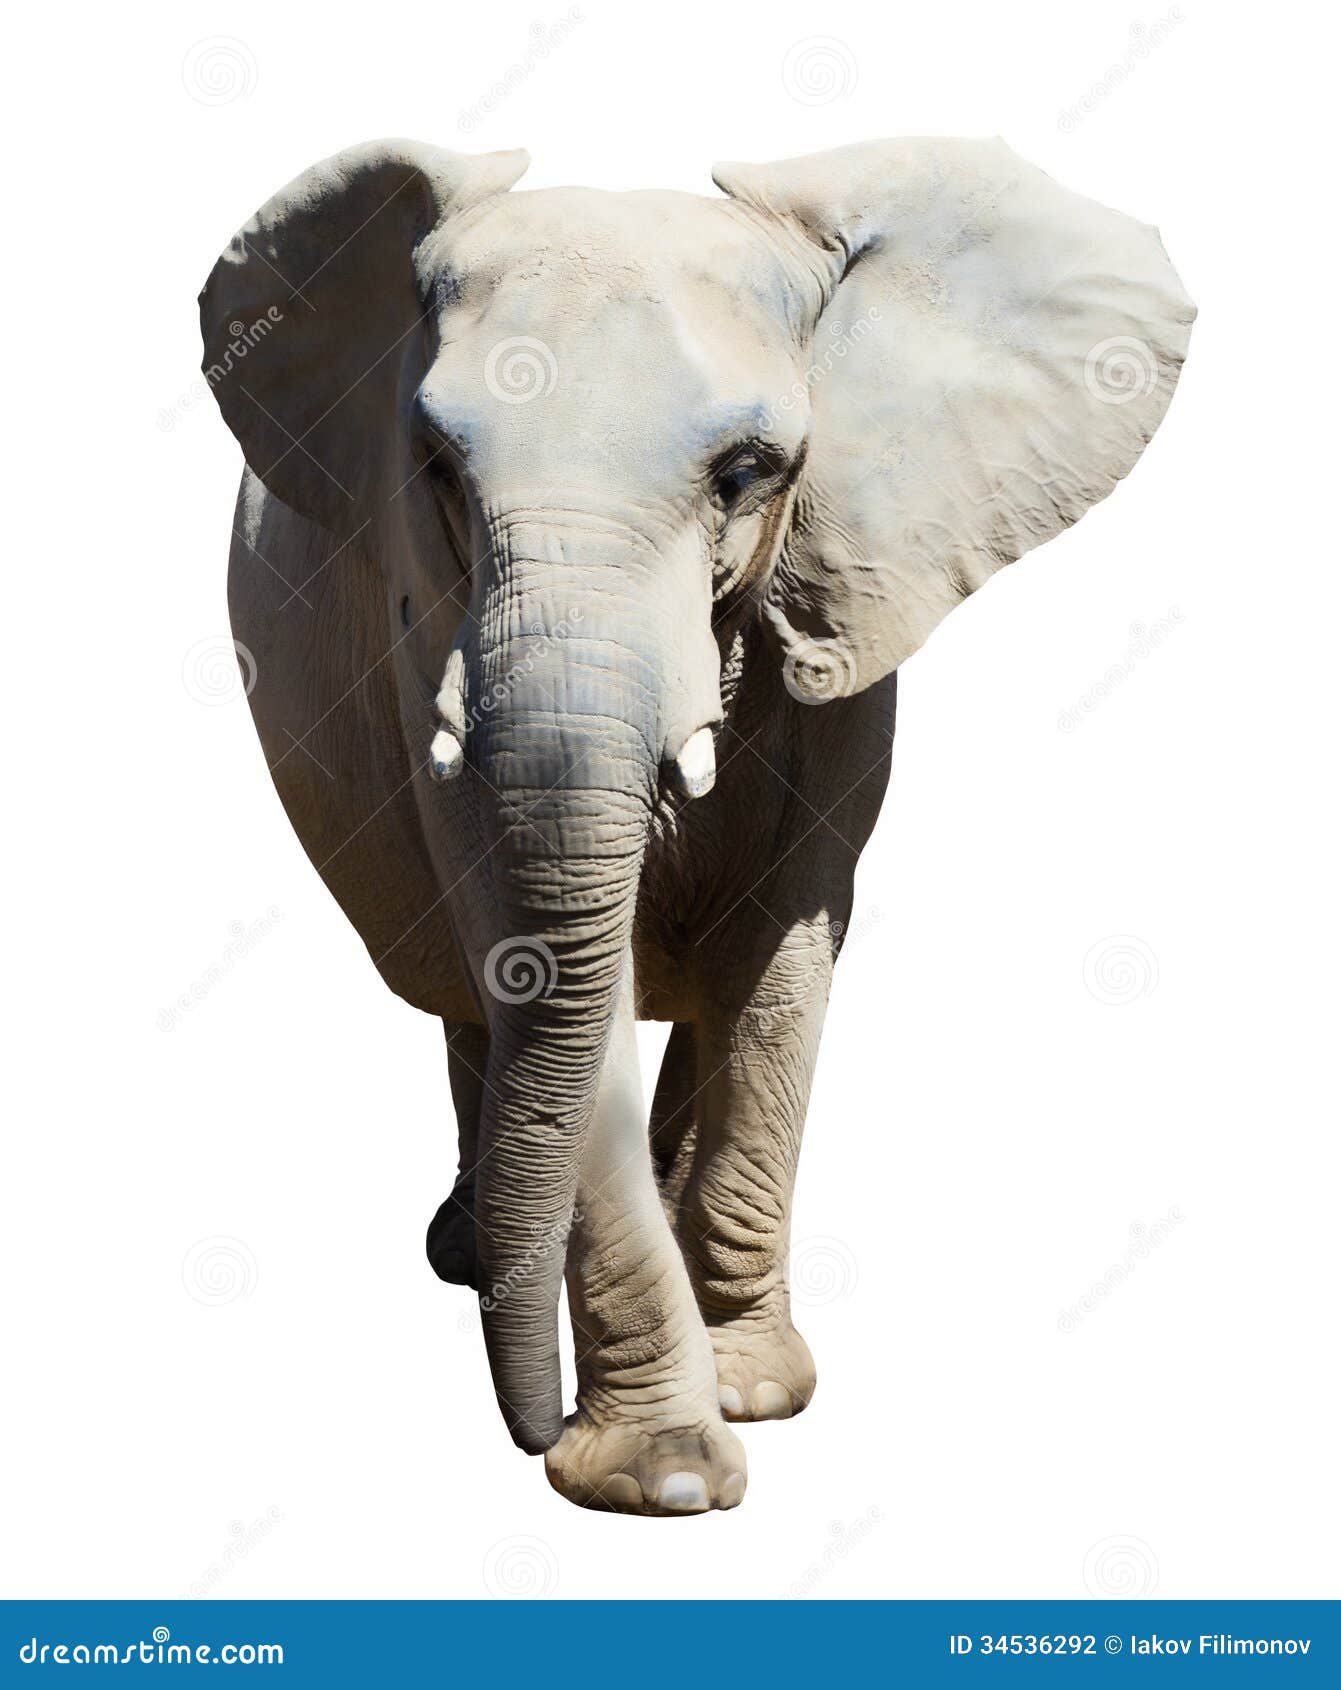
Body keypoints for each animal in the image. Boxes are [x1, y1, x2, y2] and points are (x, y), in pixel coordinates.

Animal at [200, 136, 1194, 1516]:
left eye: (743, 475)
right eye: (440, 472)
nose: (528, 1427)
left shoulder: (838, 609)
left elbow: (779, 962)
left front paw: (753, 1393)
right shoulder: (425, 648)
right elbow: (557, 970)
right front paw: (661, 1475)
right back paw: (472, 1247)